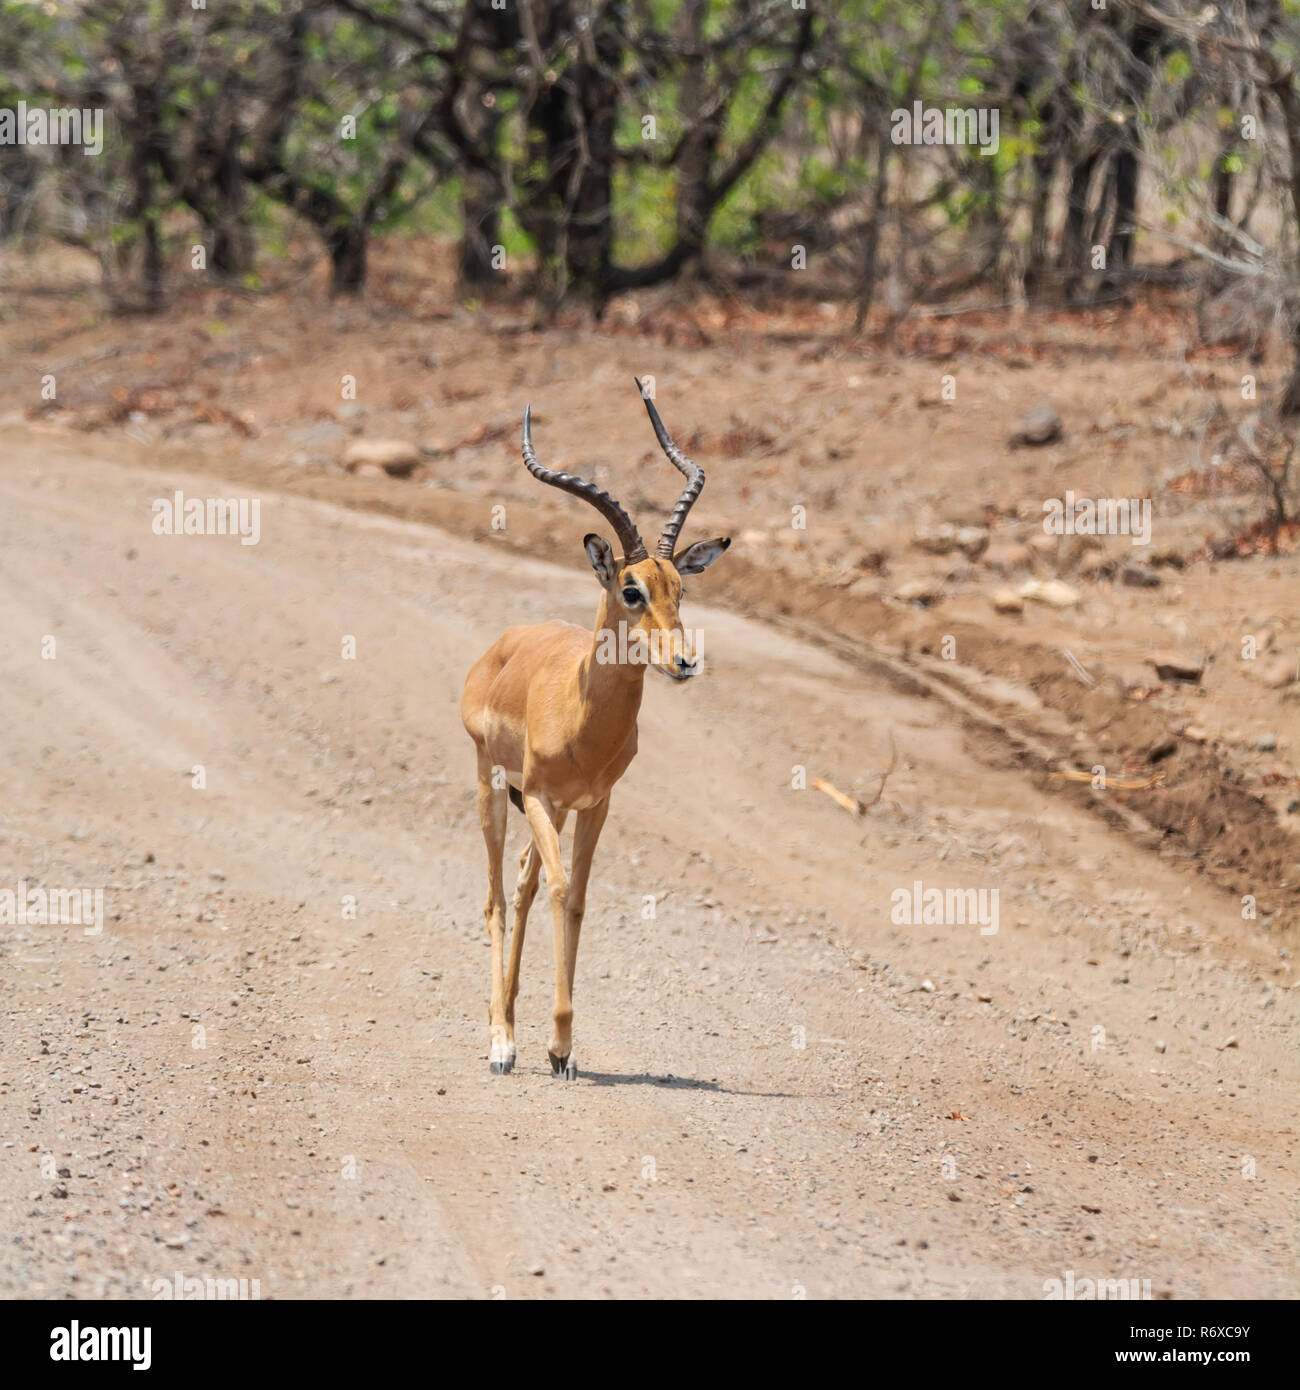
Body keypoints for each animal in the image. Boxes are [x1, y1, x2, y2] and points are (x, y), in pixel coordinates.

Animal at [460, 382, 730, 1078]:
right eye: (631, 589)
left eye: (679, 588)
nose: (684, 661)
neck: (582, 714)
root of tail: (502, 646)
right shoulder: (543, 797)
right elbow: (558, 890)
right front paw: (549, 1044)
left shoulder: (595, 805)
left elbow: (576, 896)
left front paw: (561, 1048)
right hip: (493, 786)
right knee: (498, 894)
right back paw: (500, 1042)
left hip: (541, 808)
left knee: (523, 885)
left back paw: (513, 1022)